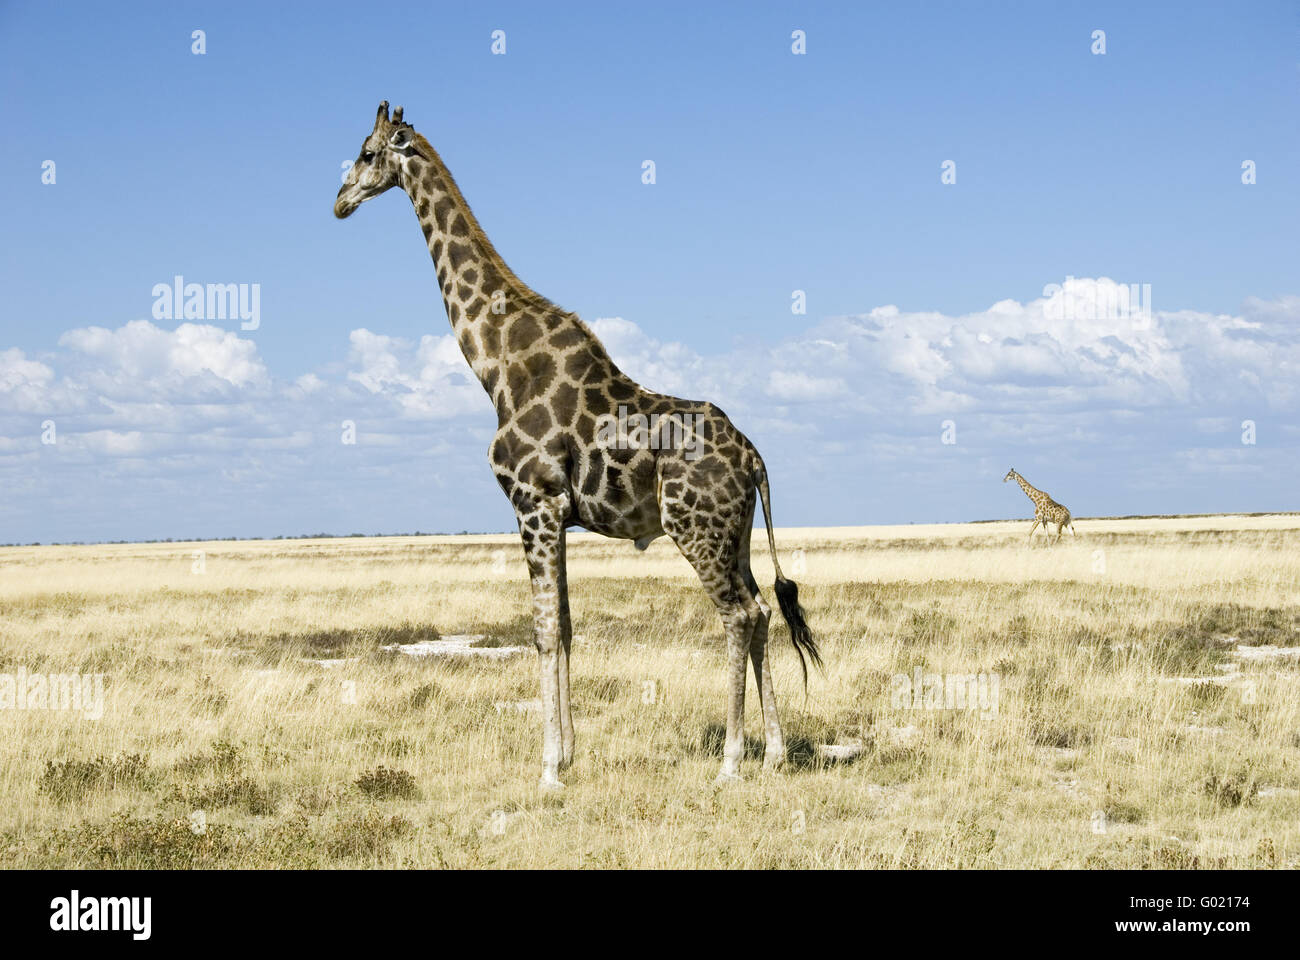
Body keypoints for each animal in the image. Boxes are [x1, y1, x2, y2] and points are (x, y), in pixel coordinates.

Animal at [334, 102, 820, 788]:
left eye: (368, 152)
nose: (340, 201)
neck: (497, 367)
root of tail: (754, 457)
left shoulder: (532, 503)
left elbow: (541, 630)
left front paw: (546, 770)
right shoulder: (555, 513)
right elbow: (564, 627)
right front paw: (568, 755)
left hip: (694, 526)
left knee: (739, 614)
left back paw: (730, 760)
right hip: (737, 531)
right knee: (761, 609)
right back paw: (773, 751)